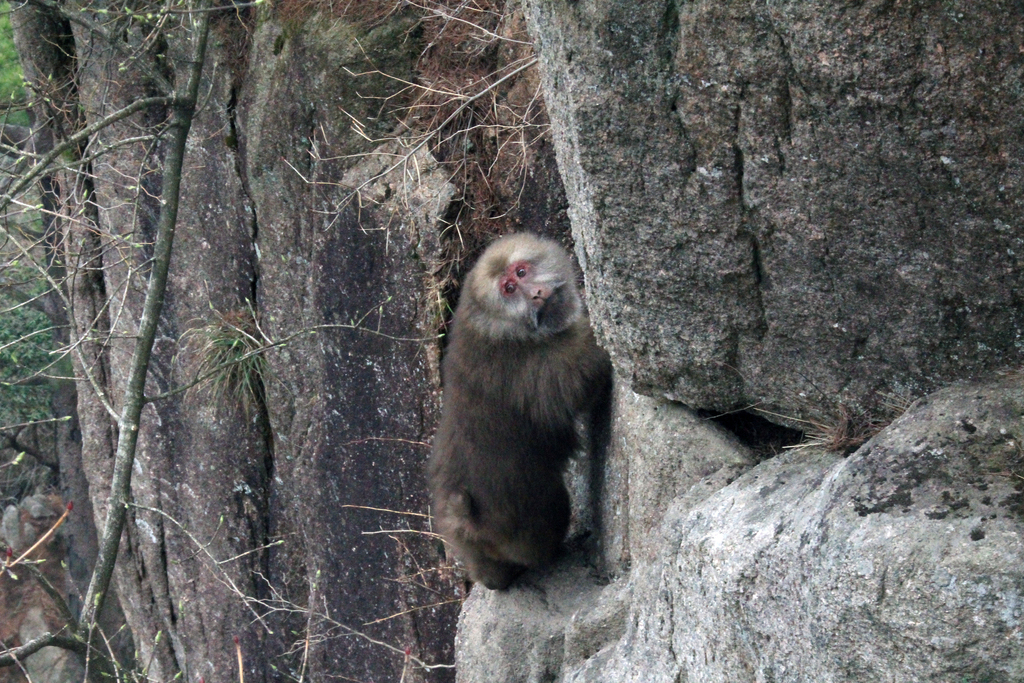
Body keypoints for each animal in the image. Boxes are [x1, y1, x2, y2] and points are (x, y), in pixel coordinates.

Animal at [429, 233, 612, 590]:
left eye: (522, 271)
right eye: (510, 289)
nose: (537, 294)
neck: (500, 324)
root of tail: (466, 519)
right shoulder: (527, 364)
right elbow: (580, 380)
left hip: (468, 542)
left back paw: (495, 578)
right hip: (522, 524)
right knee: (550, 516)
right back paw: (552, 553)